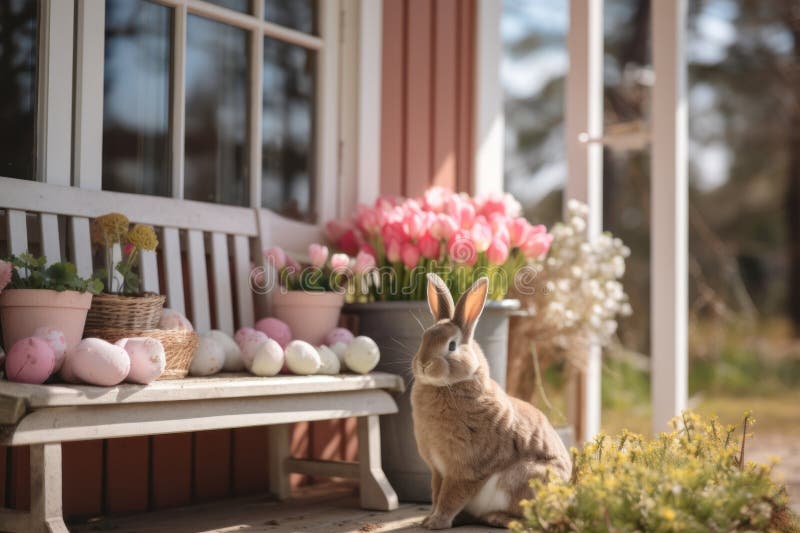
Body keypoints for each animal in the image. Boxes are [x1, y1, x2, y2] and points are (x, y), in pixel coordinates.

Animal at [411, 273, 572, 529]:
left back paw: (500, 518)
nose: (424, 364)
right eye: (424, 338)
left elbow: (449, 498)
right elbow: (436, 494)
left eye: (452, 345)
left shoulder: (464, 470)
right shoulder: (437, 469)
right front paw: (428, 519)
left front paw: (436, 522)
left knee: (534, 518)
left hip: (522, 480)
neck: (448, 386)